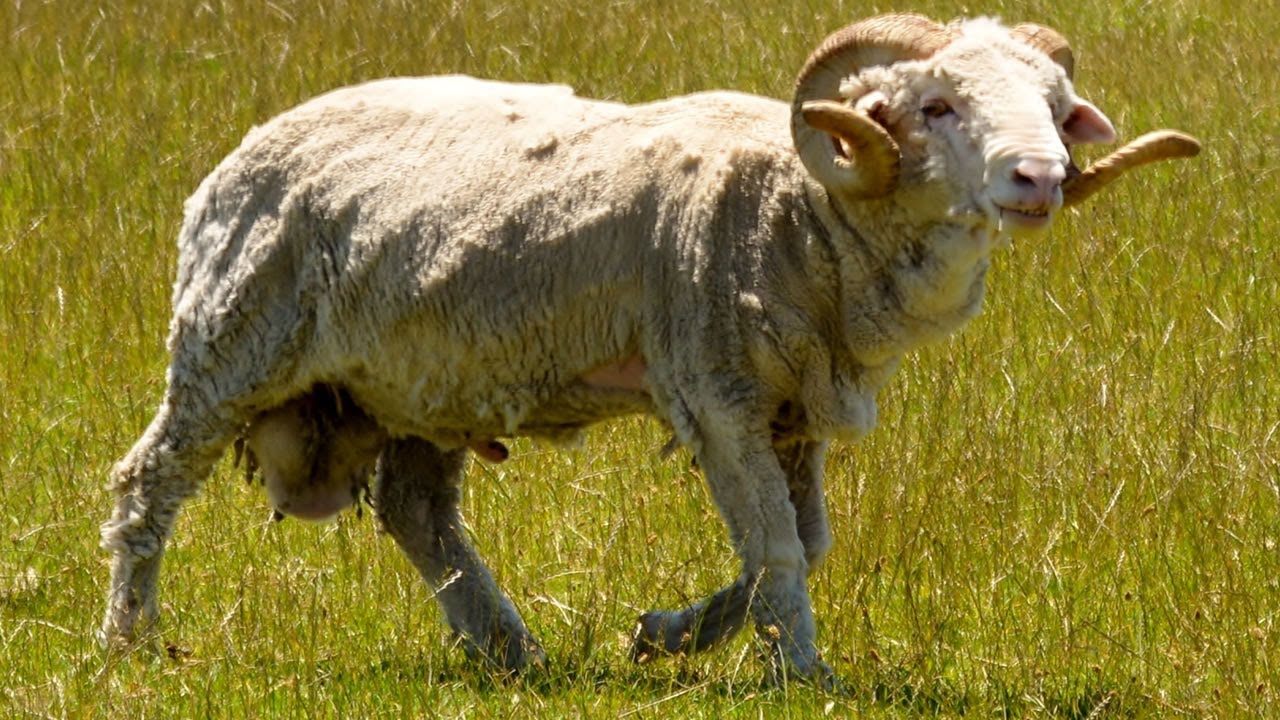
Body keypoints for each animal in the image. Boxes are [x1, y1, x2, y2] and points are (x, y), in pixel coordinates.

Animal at [99, 13, 1198, 685]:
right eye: (937, 105)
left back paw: (512, 654)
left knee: (419, 514)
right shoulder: (715, 388)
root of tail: (239, 154)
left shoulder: (793, 405)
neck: (802, 206)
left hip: (421, 382)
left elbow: (800, 545)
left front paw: (670, 636)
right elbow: (775, 546)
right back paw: (130, 642)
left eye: (1055, 109)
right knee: (147, 485)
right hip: (229, 341)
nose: (1037, 179)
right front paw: (801, 671)